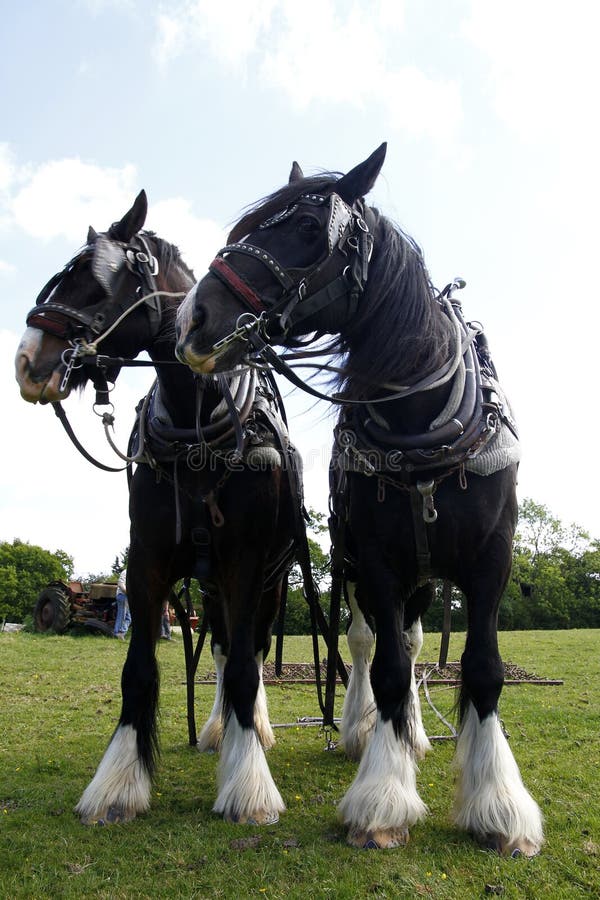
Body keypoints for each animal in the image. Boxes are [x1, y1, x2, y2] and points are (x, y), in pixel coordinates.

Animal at [15, 191, 299, 827]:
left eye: (92, 279)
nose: (26, 361)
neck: (198, 429)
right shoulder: (146, 561)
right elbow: (139, 669)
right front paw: (119, 783)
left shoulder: (245, 563)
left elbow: (246, 668)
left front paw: (249, 787)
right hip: (212, 587)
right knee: (222, 646)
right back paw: (218, 729)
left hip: (269, 582)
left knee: (251, 651)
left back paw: (252, 730)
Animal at [174, 144, 544, 856]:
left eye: (307, 229)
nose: (192, 319)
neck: (422, 423)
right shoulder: (373, 558)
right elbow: (389, 667)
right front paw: (382, 797)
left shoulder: (492, 559)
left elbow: (482, 669)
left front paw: (499, 807)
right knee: (370, 644)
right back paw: (365, 729)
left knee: (417, 639)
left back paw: (412, 734)